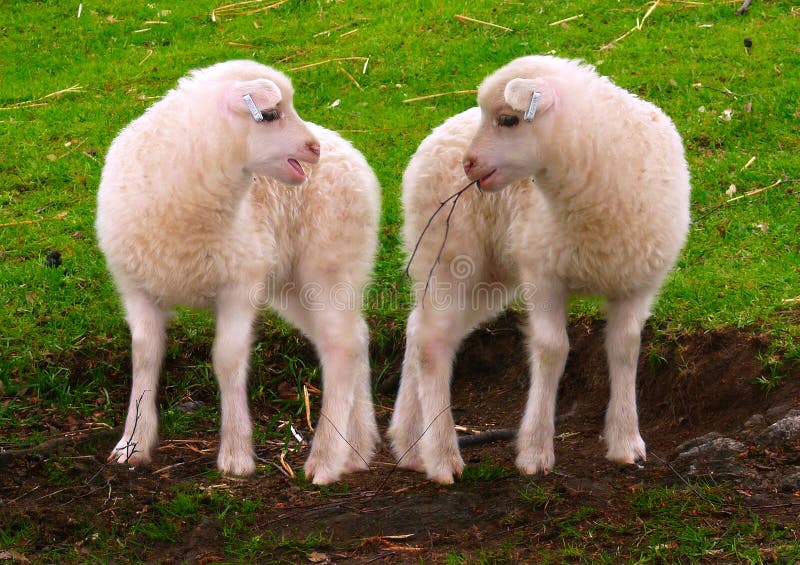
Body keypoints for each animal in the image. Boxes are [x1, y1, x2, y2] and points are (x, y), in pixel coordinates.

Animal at [96, 60, 381, 484]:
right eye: (272, 114)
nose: (313, 148)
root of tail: (348, 150)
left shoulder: (239, 283)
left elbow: (228, 359)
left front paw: (235, 454)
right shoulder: (137, 287)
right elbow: (145, 356)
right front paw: (132, 444)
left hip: (331, 265)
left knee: (341, 347)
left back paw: (327, 458)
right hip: (295, 284)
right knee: (354, 337)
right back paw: (357, 449)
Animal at [389, 55, 691, 484]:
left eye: (508, 120)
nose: (469, 165)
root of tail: (435, 135)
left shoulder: (636, 284)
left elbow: (625, 348)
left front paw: (626, 442)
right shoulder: (544, 275)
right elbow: (551, 350)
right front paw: (534, 450)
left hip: (485, 276)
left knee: (419, 329)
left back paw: (411, 447)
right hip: (448, 255)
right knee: (433, 342)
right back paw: (443, 457)